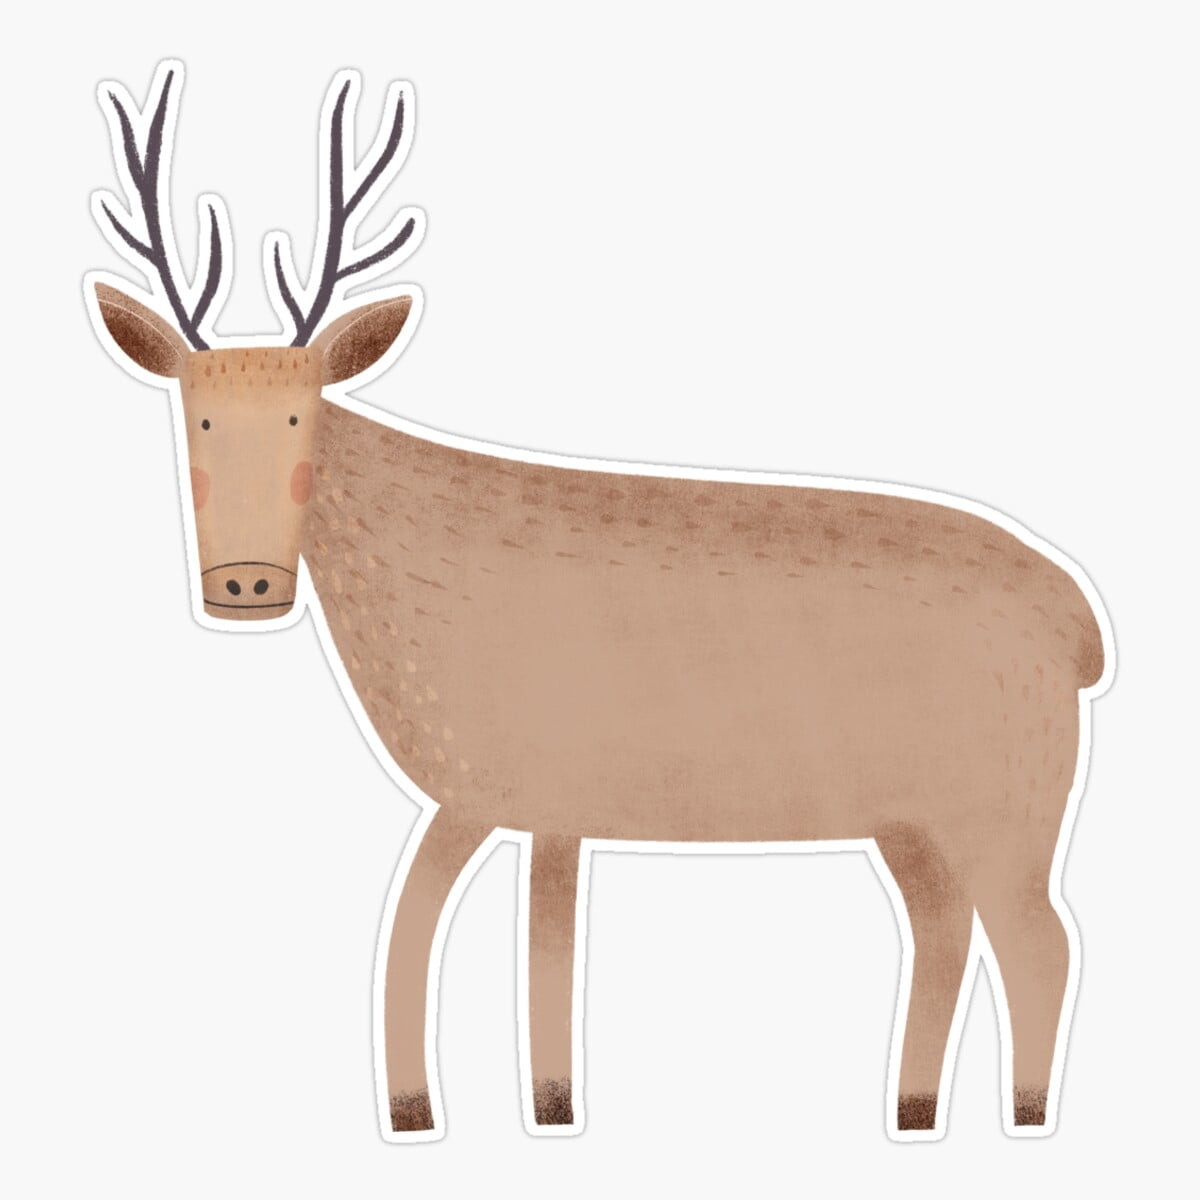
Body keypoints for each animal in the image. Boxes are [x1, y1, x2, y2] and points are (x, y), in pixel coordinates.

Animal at [85, 61, 1112, 1143]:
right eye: (196, 415)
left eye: (300, 414)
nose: (245, 587)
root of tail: (1084, 632)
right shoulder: (548, 801)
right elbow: (542, 954)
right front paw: (548, 1107)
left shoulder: (483, 782)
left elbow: (425, 932)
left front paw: (417, 1114)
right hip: (915, 817)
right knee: (945, 927)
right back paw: (913, 1114)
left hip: (1010, 801)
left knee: (1042, 943)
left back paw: (1026, 1118)